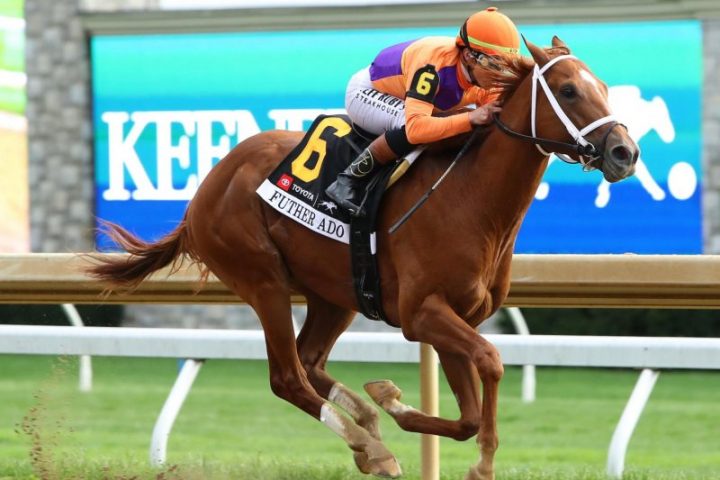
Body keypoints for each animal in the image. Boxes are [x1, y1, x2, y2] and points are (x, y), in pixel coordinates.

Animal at [86, 36, 638, 480]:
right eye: (568, 91)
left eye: (603, 87)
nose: (625, 153)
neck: (471, 200)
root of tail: (208, 187)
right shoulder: (421, 313)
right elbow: (491, 360)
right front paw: (479, 462)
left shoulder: (455, 315)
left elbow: (466, 416)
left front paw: (391, 399)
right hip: (261, 279)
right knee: (288, 377)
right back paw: (371, 448)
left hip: (337, 294)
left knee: (311, 362)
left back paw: (368, 424)